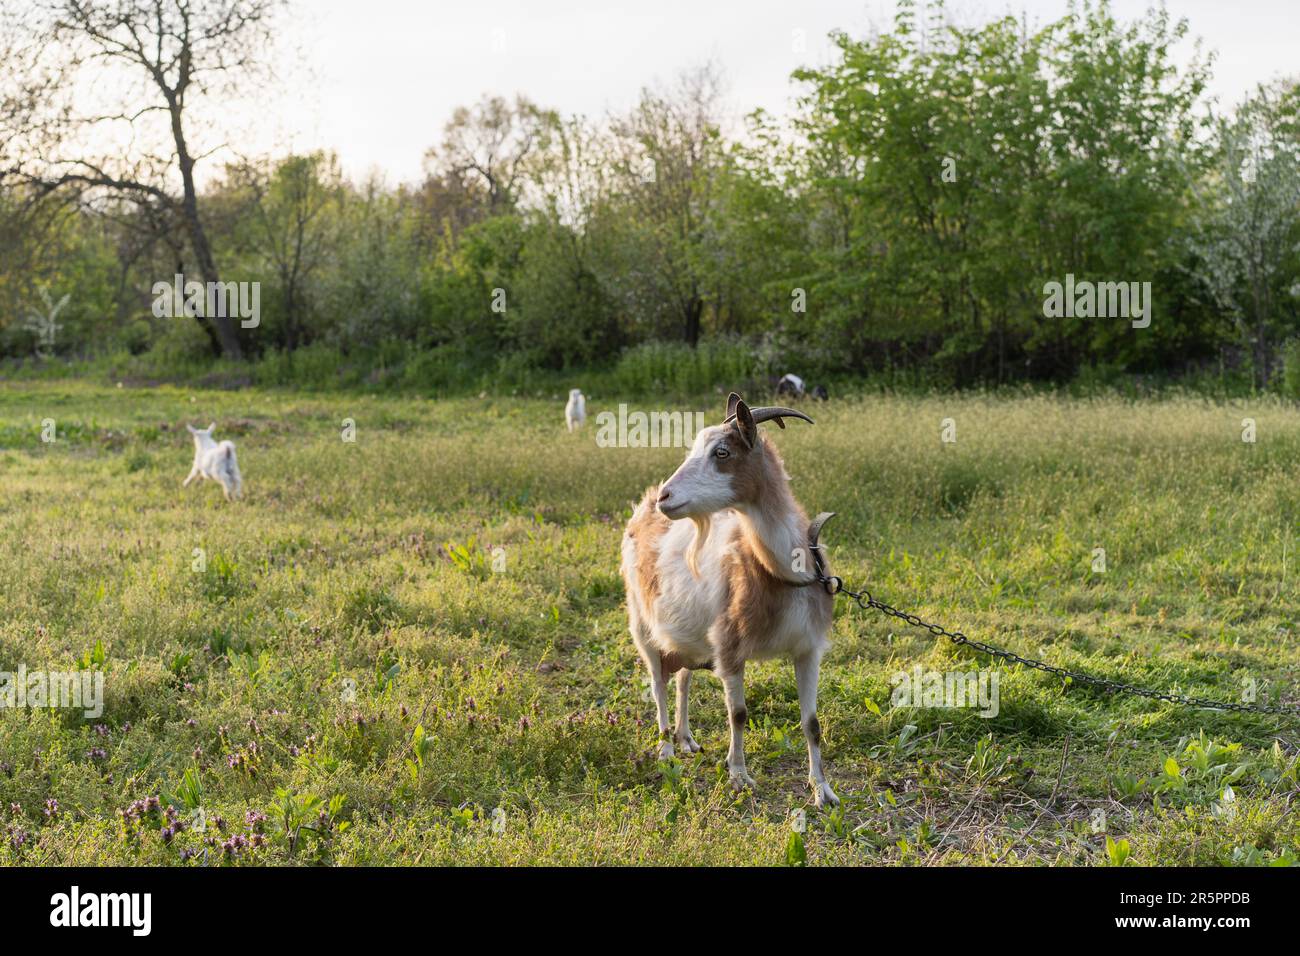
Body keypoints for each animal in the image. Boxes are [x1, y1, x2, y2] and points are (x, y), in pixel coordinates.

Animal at [620, 392, 837, 807]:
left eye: (722, 452)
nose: (666, 497)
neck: (783, 574)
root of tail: (641, 507)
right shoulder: (730, 647)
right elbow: (737, 713)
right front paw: (739, 776)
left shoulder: (808, 647)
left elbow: (813, 722)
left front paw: (823, 789)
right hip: (642, 624)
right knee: (657, 683)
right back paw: (666, 749)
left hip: (689, 635)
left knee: (683, 678)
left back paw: (686, 739)